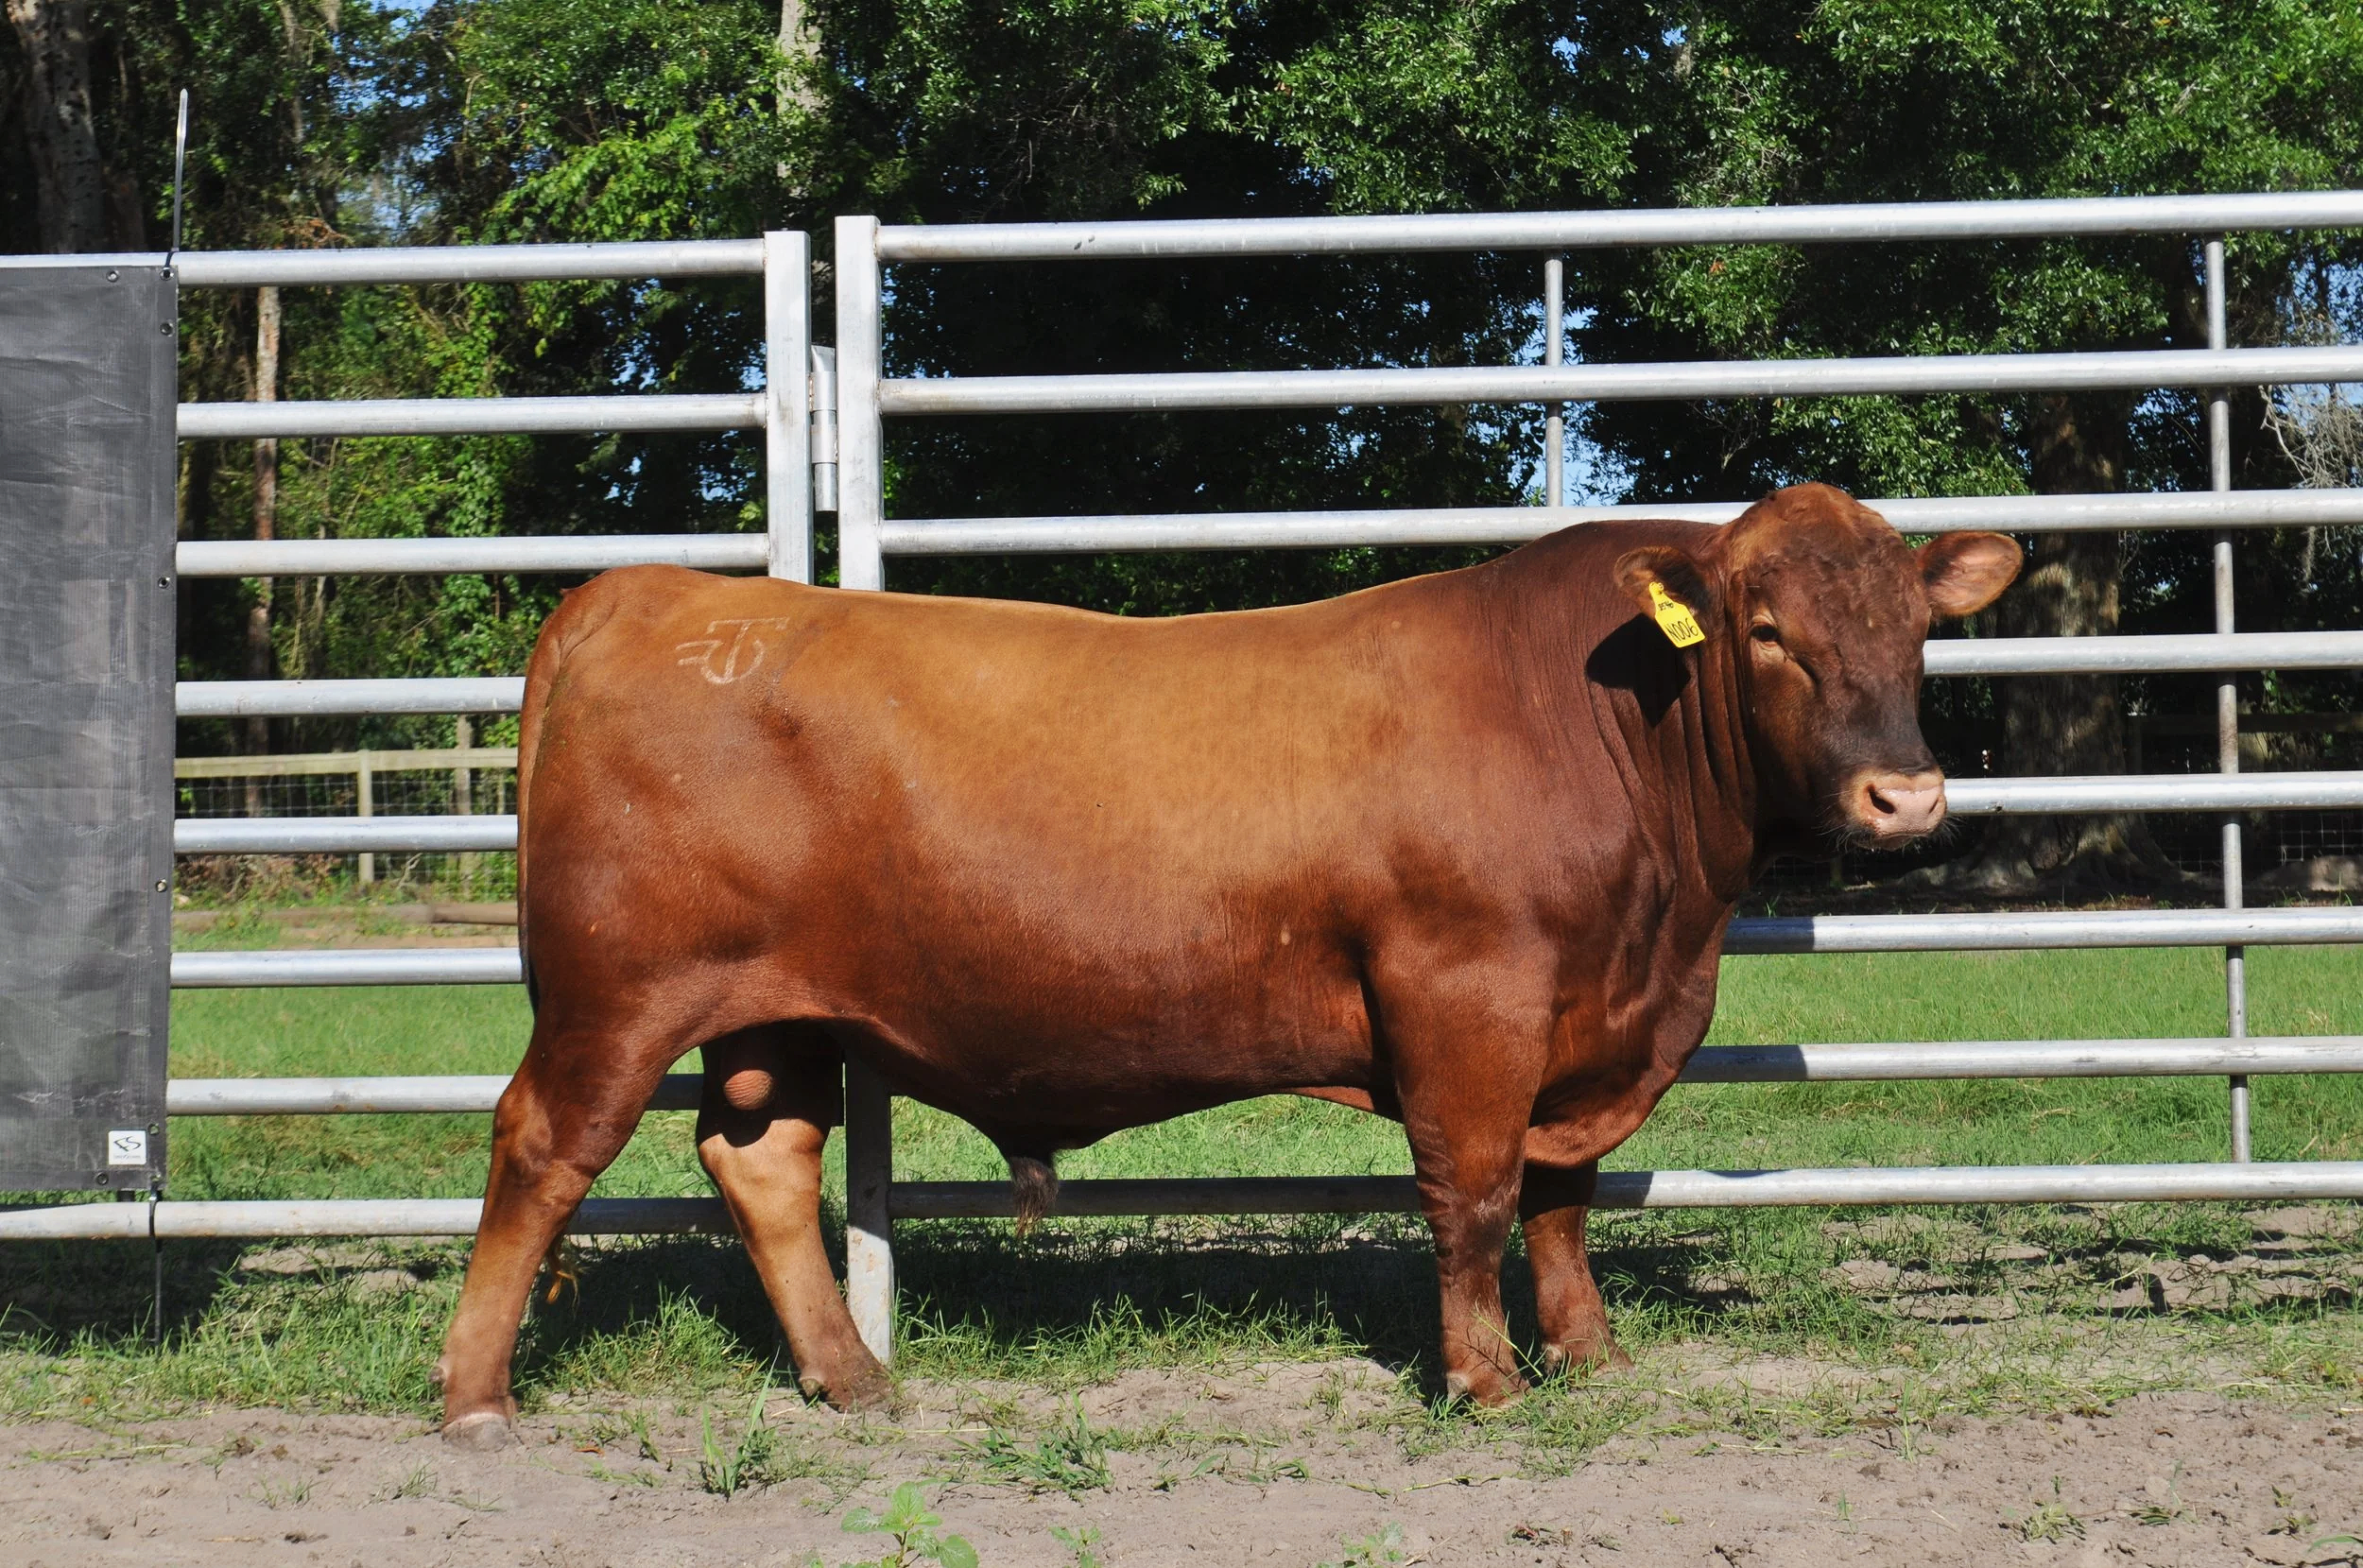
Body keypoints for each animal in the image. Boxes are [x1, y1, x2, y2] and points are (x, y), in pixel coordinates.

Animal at [432, 482, 2020, 1448]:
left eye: (1919, 629)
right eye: (1770, 631)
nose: (1906, 798)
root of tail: (650, 593)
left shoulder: (1589, 1026)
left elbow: (1563, 1193)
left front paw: (1590, 1353)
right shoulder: (1467, 995)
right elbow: (1476, 1192)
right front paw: (1488, 1377)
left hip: (777, 1012)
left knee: (761, 1155)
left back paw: (859, 1377)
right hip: (617, 992)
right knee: (542, 1144)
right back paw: (475, 1395)